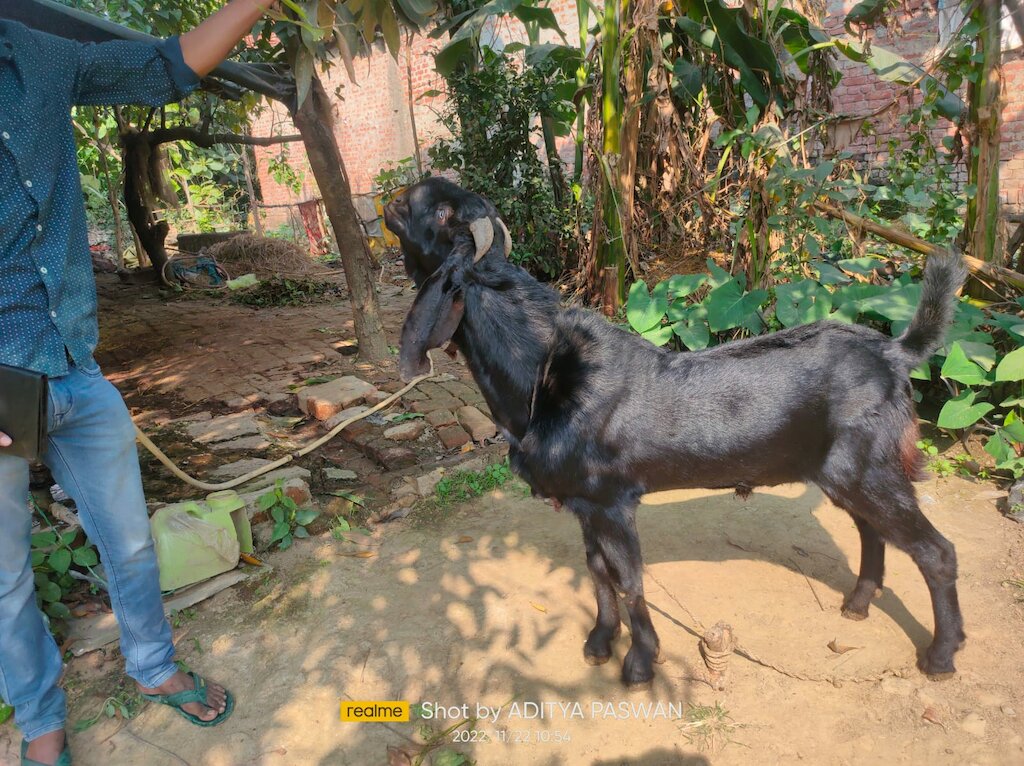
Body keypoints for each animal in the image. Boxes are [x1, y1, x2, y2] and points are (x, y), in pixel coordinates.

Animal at [386, 178, 968, 690]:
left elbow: (630, 581)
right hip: (844, 474)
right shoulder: (585, 504)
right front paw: (600, 642)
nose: (393, 198)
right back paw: (858, 605)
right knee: (872, 531)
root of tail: (895, 353)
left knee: (935, 551)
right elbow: (597, 573)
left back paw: (942, 655)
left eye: (441, 210)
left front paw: (641, 663)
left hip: (870, 469)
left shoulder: (613, 503)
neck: (543, 370)